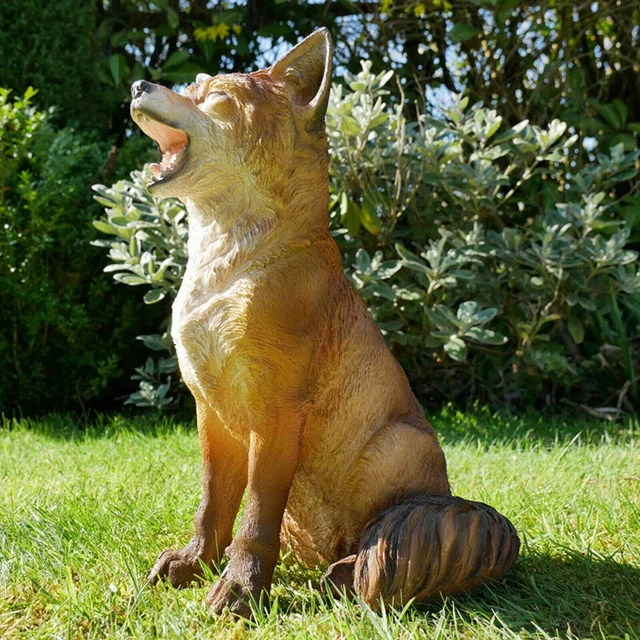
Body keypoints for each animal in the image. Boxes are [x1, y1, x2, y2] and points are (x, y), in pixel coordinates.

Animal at [130, 28, 520, 618]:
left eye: (216, 96)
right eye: (191, 85)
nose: (136, 84)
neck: (225, 273)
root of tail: (451, 500)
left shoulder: (276, 410)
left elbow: (254, 519)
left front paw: (241, 590)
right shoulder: (211, 411)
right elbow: (213, 507)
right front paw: (193, 566)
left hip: (396, 445)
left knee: (369, 544)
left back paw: (342, 576)